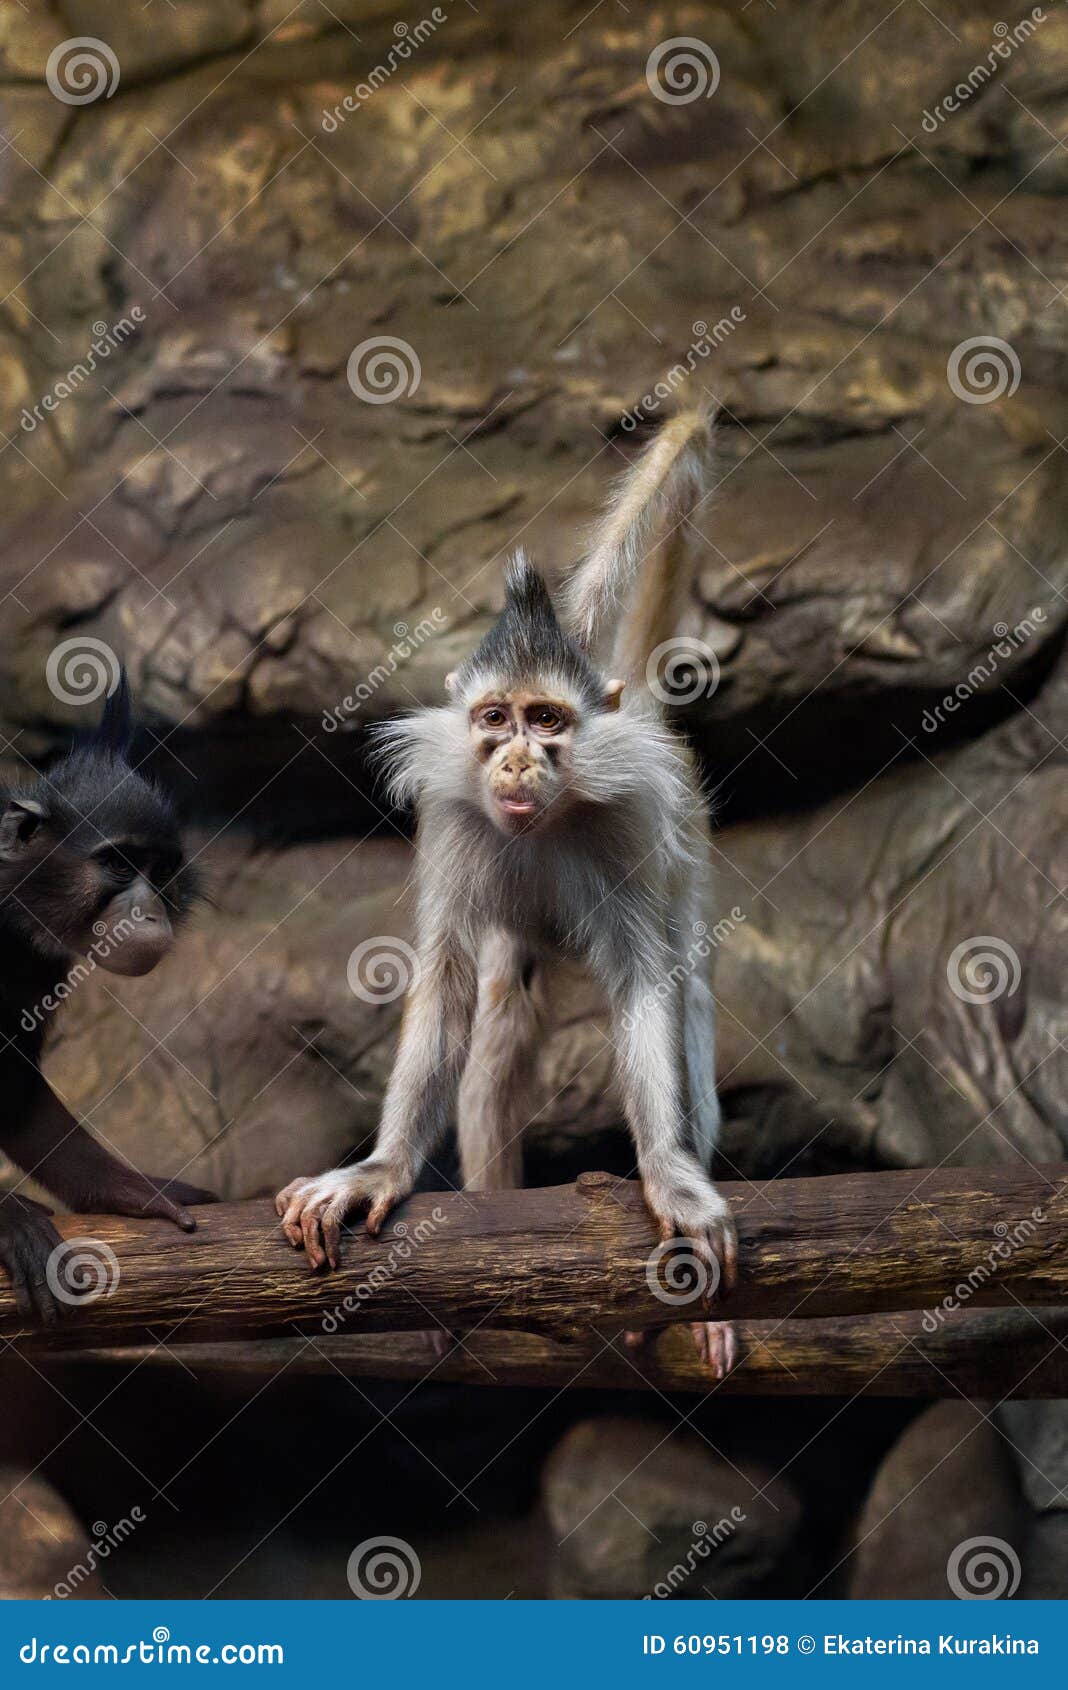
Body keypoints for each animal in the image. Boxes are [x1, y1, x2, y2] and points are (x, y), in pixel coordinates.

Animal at [0, 674, 217, 1323]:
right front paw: (5, 1220)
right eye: (120, 866)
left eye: (160, 869)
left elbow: (15, 1093)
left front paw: (132, 1191)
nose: (148, 912)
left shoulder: (36, 962)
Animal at [276, 400, 739, 1375]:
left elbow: (646, 988)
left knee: (685, 999)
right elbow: (448, 980)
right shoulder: (452, 816)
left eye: (547, 720)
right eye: (496, 718)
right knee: (501, 1011)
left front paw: (670, 1178)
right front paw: (381, 1170)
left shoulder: (628, 822)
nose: (520, 759)